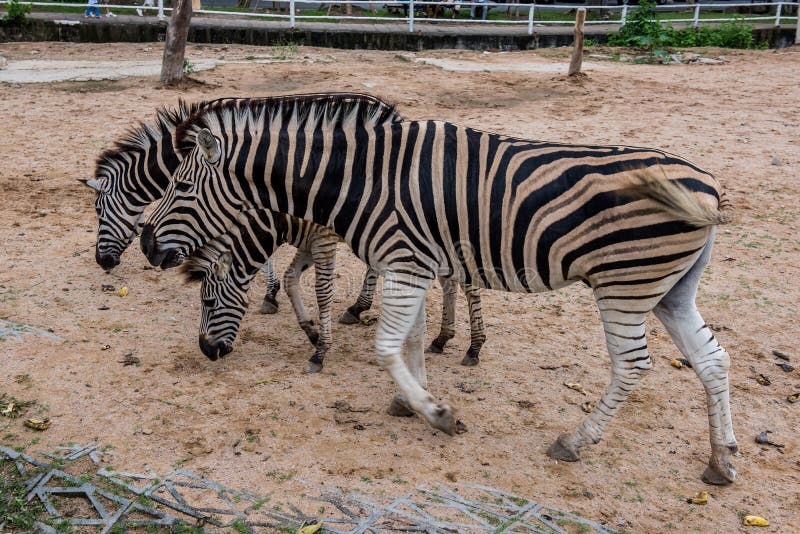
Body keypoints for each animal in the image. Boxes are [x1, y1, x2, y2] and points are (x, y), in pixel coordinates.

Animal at [140, 96, 736, 484]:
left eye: (182, 186)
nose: (146, 245)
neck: (359, 178)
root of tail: (707, 186)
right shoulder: (413, 264)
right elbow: (409, 340)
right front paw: (412, 398)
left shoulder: (405, 262)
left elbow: (386, 346)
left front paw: (436, 413)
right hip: (671, 289)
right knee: (713, 359)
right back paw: (721, 459)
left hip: (625, 285)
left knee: (633, 366)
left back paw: (575, 440)